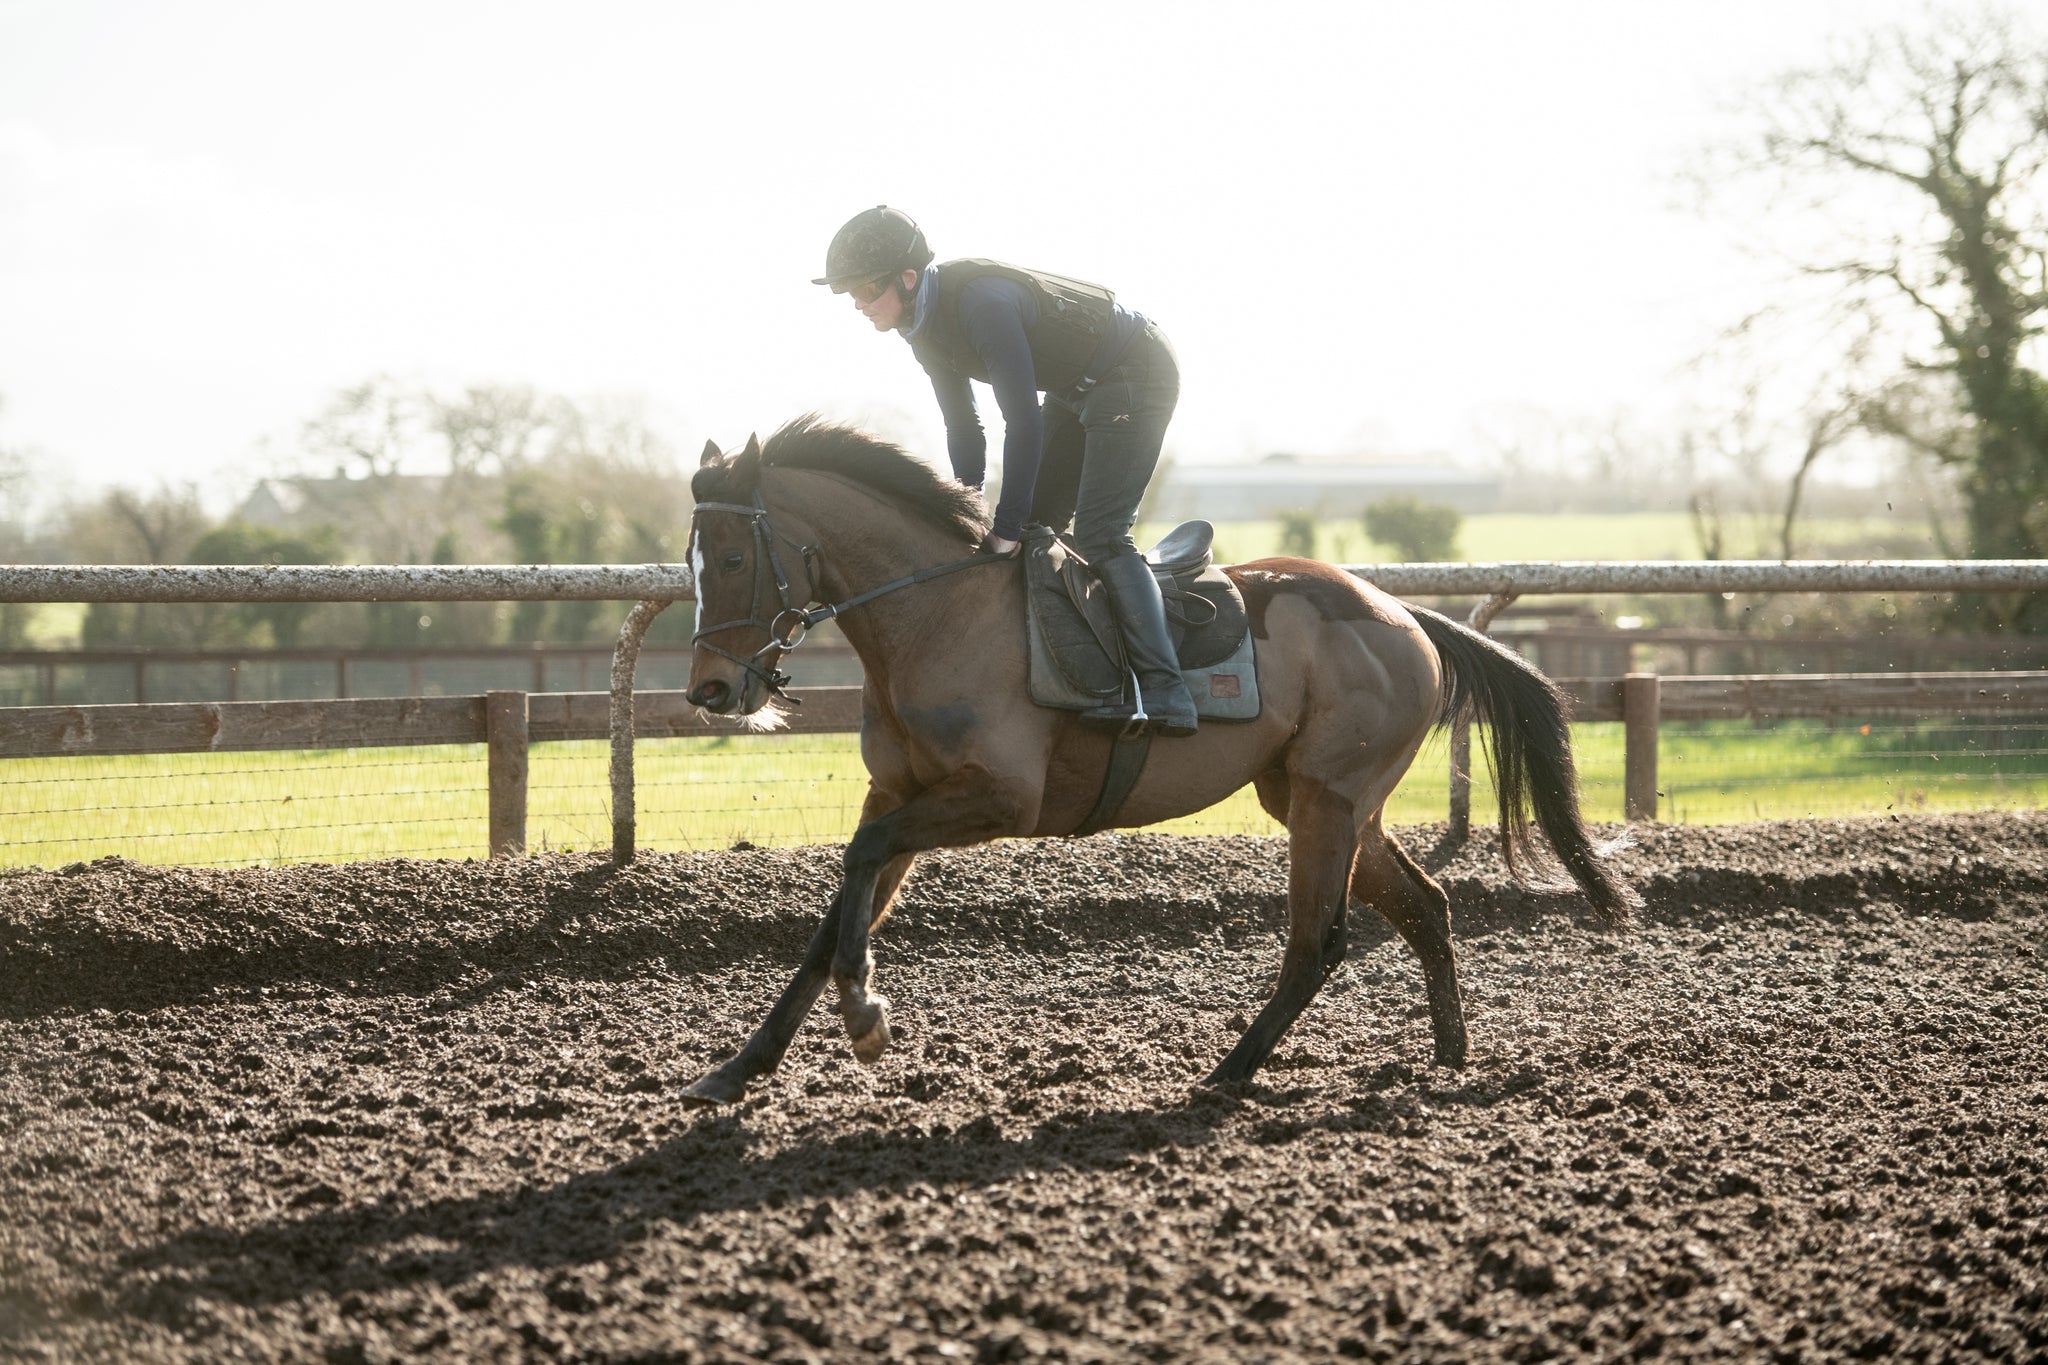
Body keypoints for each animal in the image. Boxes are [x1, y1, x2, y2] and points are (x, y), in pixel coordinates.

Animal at [679, 416, 1636, 1106]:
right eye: (691, 559)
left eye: (730, 556)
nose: (711, 689)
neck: (938, 614)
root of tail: (1405, 615)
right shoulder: (899, 792)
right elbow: (836, 908)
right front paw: (742, 1064)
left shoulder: (997, 798)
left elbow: (858, 869)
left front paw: (865, 1012)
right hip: (1321, 798)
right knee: (1426, 905)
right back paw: (1448, 1050)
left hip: (1327, 801)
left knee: (1317, 940)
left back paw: (1231, 1068)